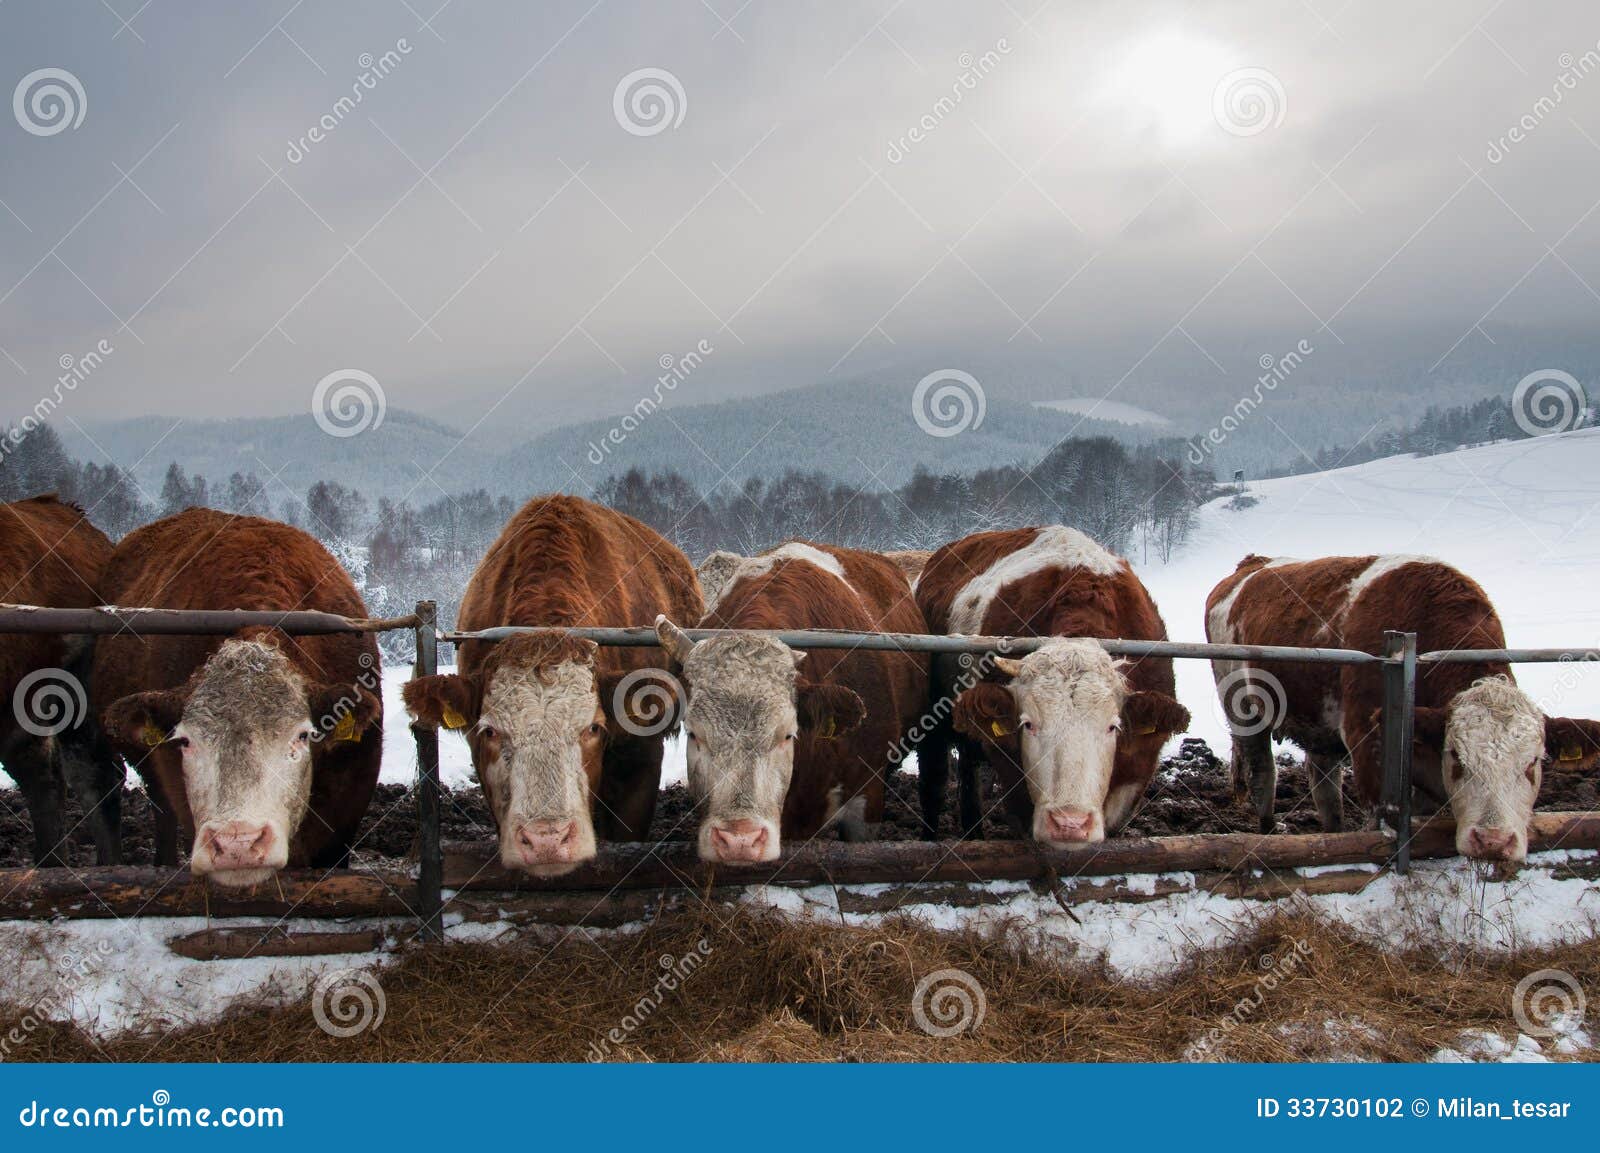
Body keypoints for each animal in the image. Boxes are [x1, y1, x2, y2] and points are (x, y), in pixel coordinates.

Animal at [1205, 554, 1600, 861]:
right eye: (1456, 758)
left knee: (1324, 783)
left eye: (1533, 763)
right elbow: (1377, 824)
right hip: (1241, 707)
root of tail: (1252, 565)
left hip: (1321, 724)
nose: (1493, 841)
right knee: (1263, 773)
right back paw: (1268, 832)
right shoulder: (1368, 747)